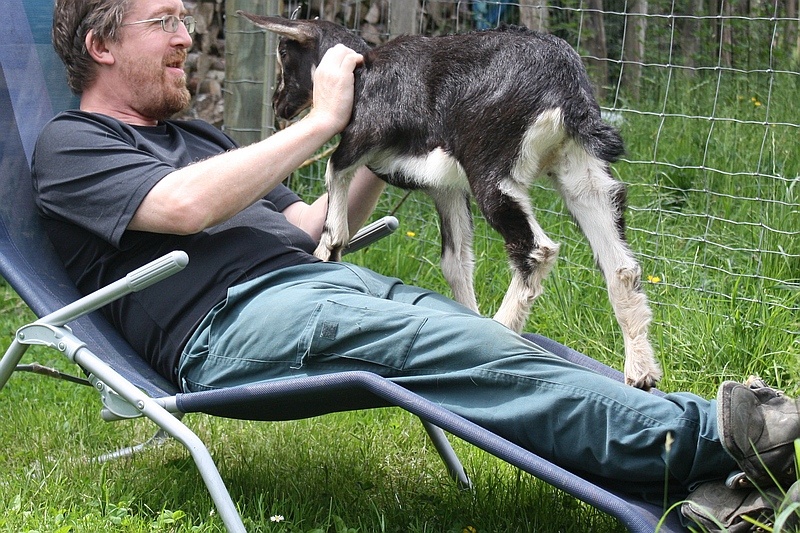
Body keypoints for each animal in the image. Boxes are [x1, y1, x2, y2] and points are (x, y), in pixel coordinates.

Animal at [238, 13, 661, 390]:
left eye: (284, 52)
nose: (278, 105)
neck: (362, 72)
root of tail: (566, 86)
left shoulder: (365, 134)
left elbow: (333, 168)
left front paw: (329, 246)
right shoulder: (446, 187)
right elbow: (456, 260)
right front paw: (465, 315)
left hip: (492, 170)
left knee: (537, 249)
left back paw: (501, 331)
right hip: (579, 172)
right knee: (621, 266)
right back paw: (640, 370)